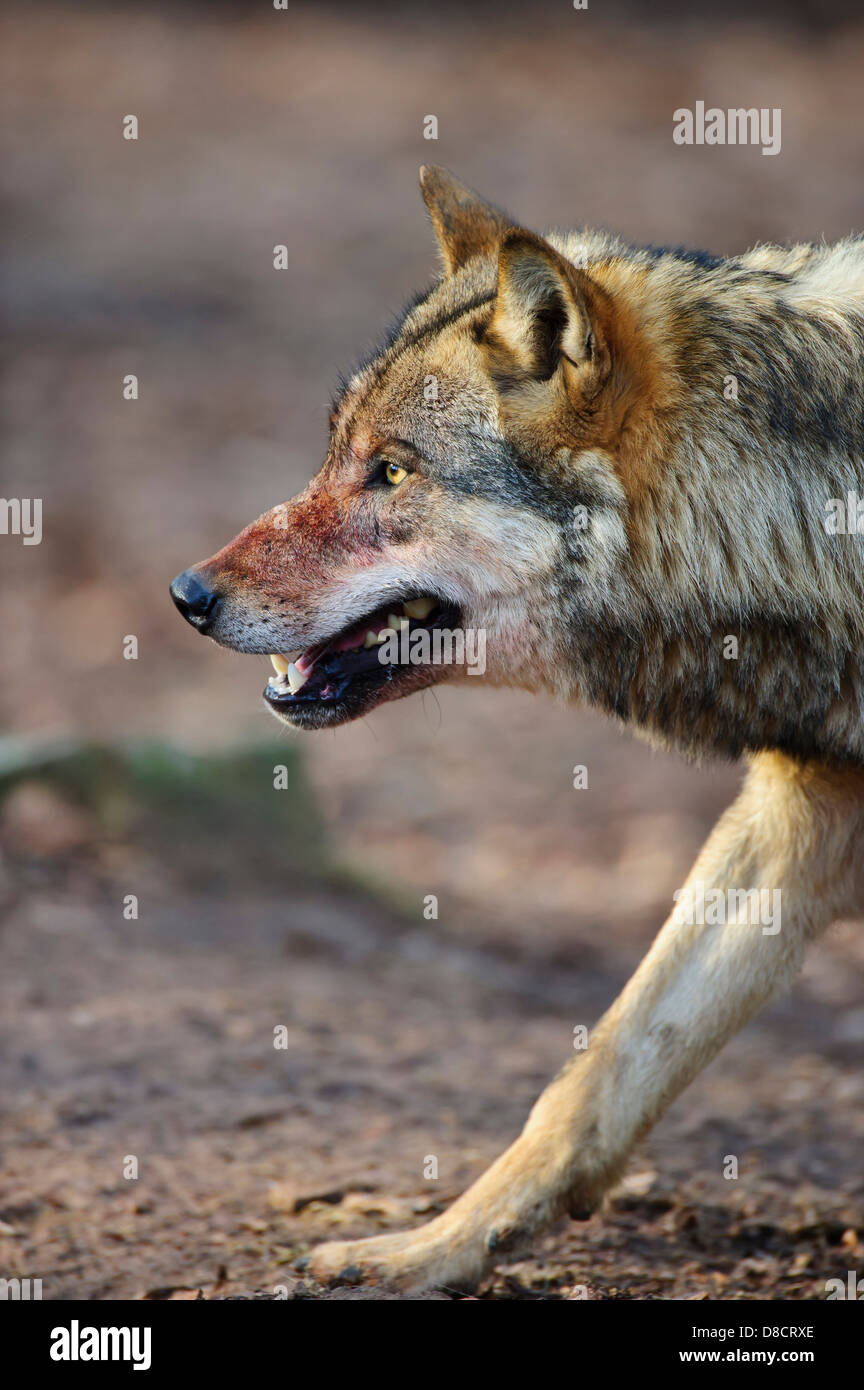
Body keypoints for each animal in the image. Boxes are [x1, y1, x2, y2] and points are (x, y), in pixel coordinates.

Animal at [171, 167, 864, 1292]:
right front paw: (435, 1248)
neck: (819, 524)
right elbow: (596, 1074)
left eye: (393, 470)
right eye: (336, 454)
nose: (186, 596)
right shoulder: (802, 808)